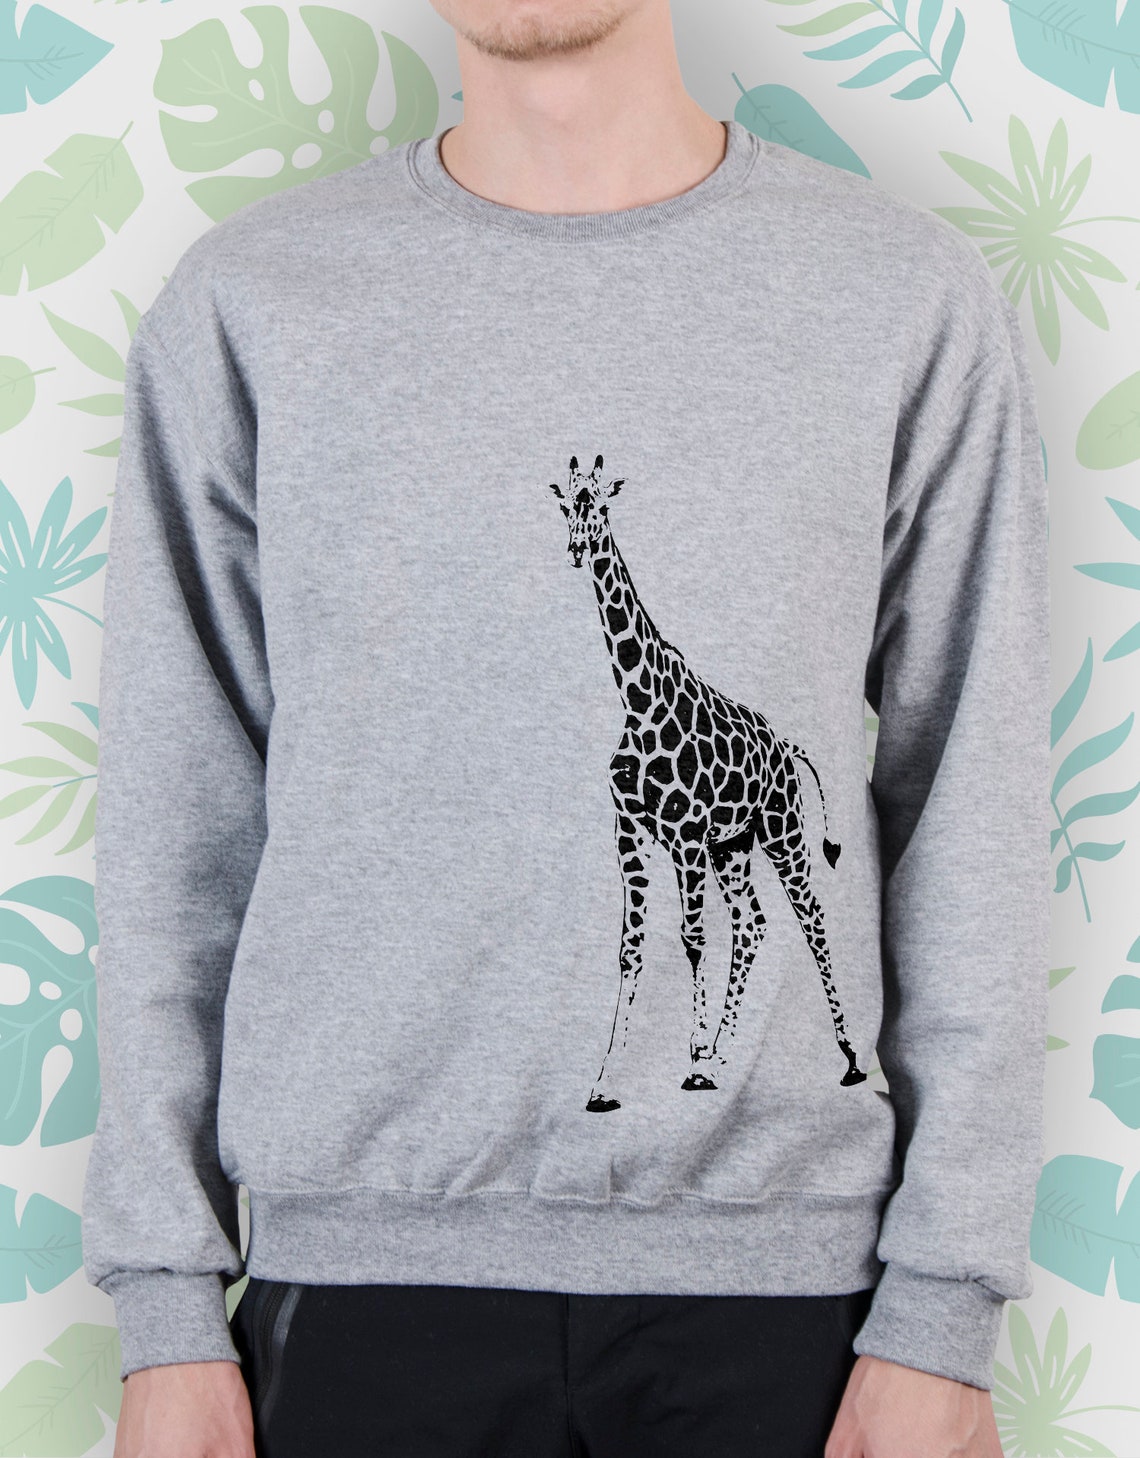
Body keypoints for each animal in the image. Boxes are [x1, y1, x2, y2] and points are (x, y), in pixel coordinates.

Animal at [547, 453, 867, 1113]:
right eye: (566, 506)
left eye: (603, 504)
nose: (576, 550)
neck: (638, 702)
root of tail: (785, 744)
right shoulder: (632, 831)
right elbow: (631, 947)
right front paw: (606, 1082)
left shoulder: (686, 833)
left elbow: (692, 937)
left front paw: (691, 1063)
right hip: (734, 846)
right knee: (753, 924)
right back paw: (720, 1048)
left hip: (780, 831)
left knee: (812, 917)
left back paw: (846, 1057)